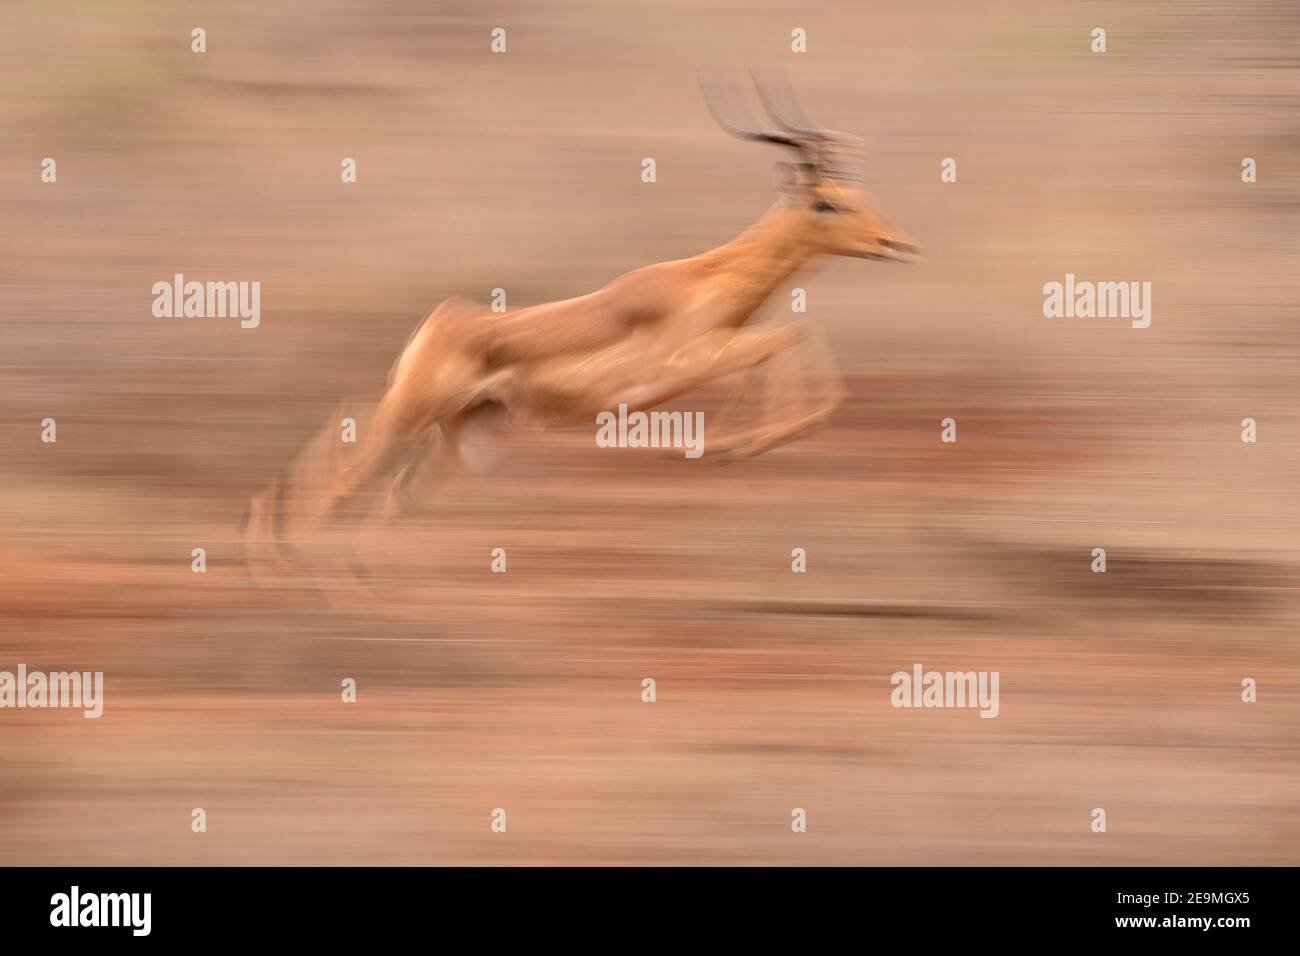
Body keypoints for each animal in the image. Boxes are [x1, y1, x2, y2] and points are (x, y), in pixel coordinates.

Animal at [251, 75, 917, 552]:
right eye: (826, 202)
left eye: (859, 194)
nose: (895, 243)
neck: (704, 281)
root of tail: (443, 320)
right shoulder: (683, 363)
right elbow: (785, 335)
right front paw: (744, 443)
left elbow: (789, 334)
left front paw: (732, 438)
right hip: (411, 414)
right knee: (345, 471)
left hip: (463, 438)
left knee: (391, 488)